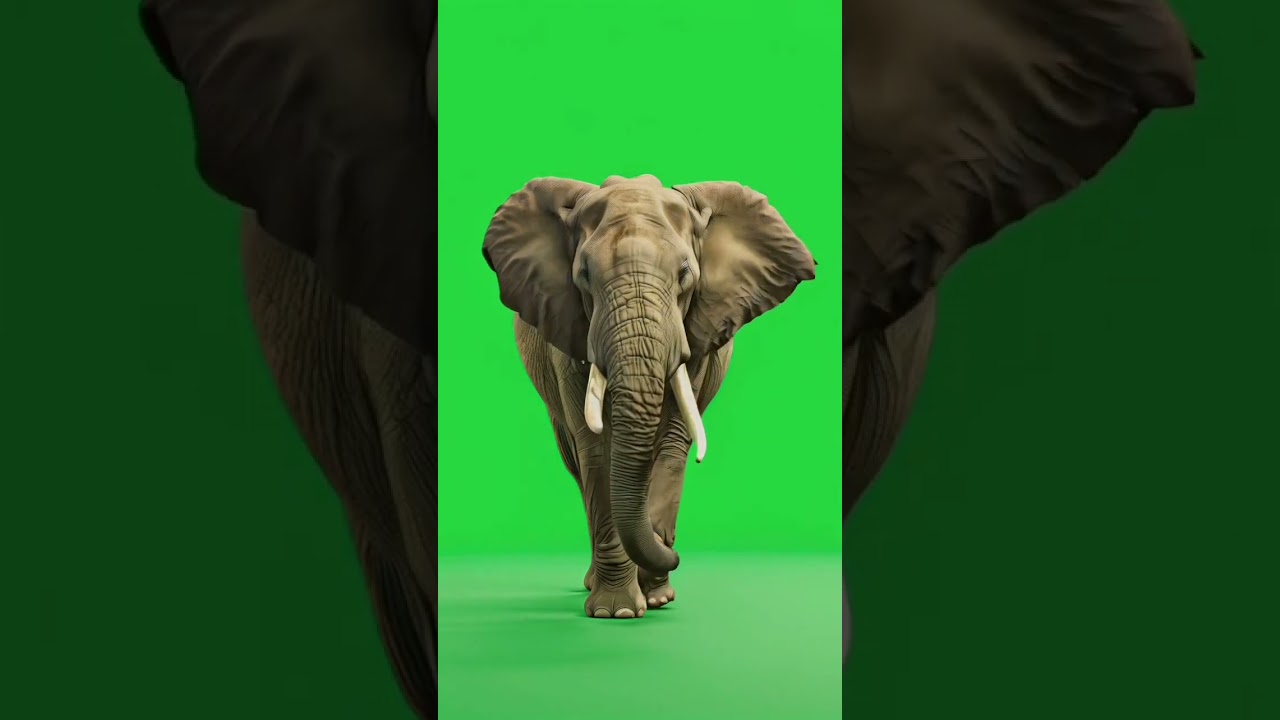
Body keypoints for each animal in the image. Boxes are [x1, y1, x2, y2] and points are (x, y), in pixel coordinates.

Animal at [481, 175, 816, 618]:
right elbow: (595, 451)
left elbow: (672, 446)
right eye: (583, 275)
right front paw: (617, 611)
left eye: (685, 275)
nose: (672, 551)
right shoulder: (569, 330)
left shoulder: (695, 335)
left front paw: (655, 596)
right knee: (577, 464)